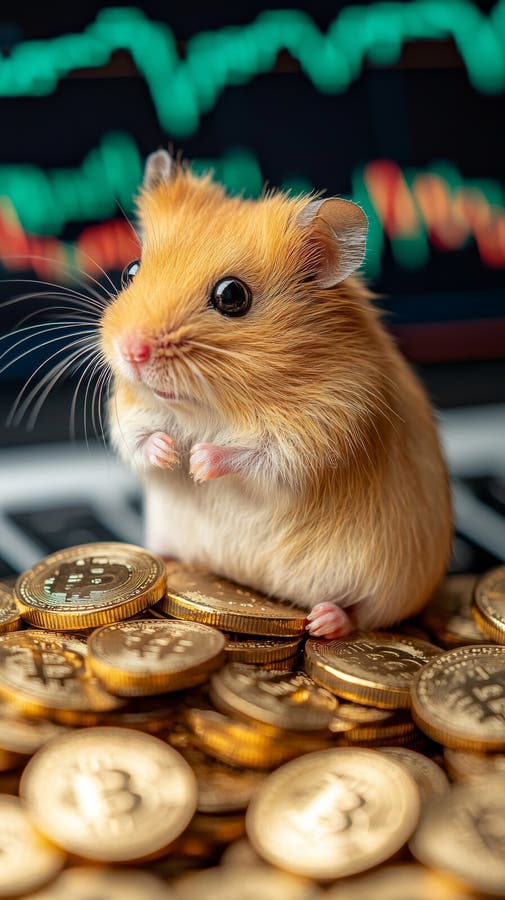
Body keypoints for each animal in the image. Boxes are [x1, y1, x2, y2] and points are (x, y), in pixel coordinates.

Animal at [100, 149, 452, 639]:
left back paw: (323, 621)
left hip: (396, 581)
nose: (131, 350)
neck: (207, 407)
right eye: (132, 271)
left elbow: (257, 456)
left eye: (232, 296)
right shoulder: (127, 413)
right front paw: (170, 453)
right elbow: (136, 440)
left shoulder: (323, 429)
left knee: (364, 614)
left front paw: (197, 462)